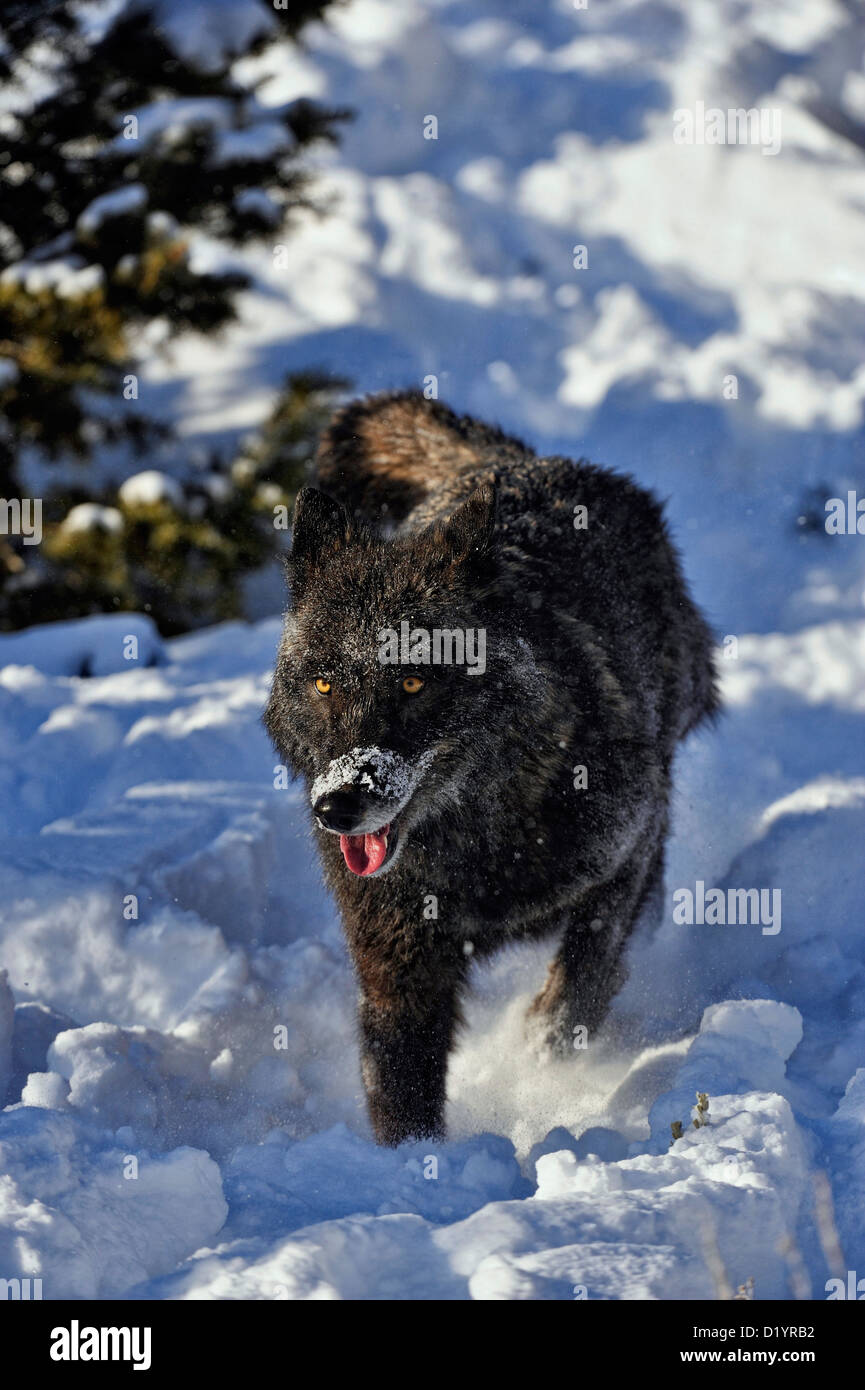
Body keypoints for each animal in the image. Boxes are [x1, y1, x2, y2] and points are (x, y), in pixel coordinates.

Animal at [264, 391, 718, 1146]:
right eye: (325, 685)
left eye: (413, 680)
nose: (337, 806)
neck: (479, 840)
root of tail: (525, 463)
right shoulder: (398, 962)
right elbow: (399, 1082)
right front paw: (410, 1169)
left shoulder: (622, 848)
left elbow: (582, 979)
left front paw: (541, 1062)